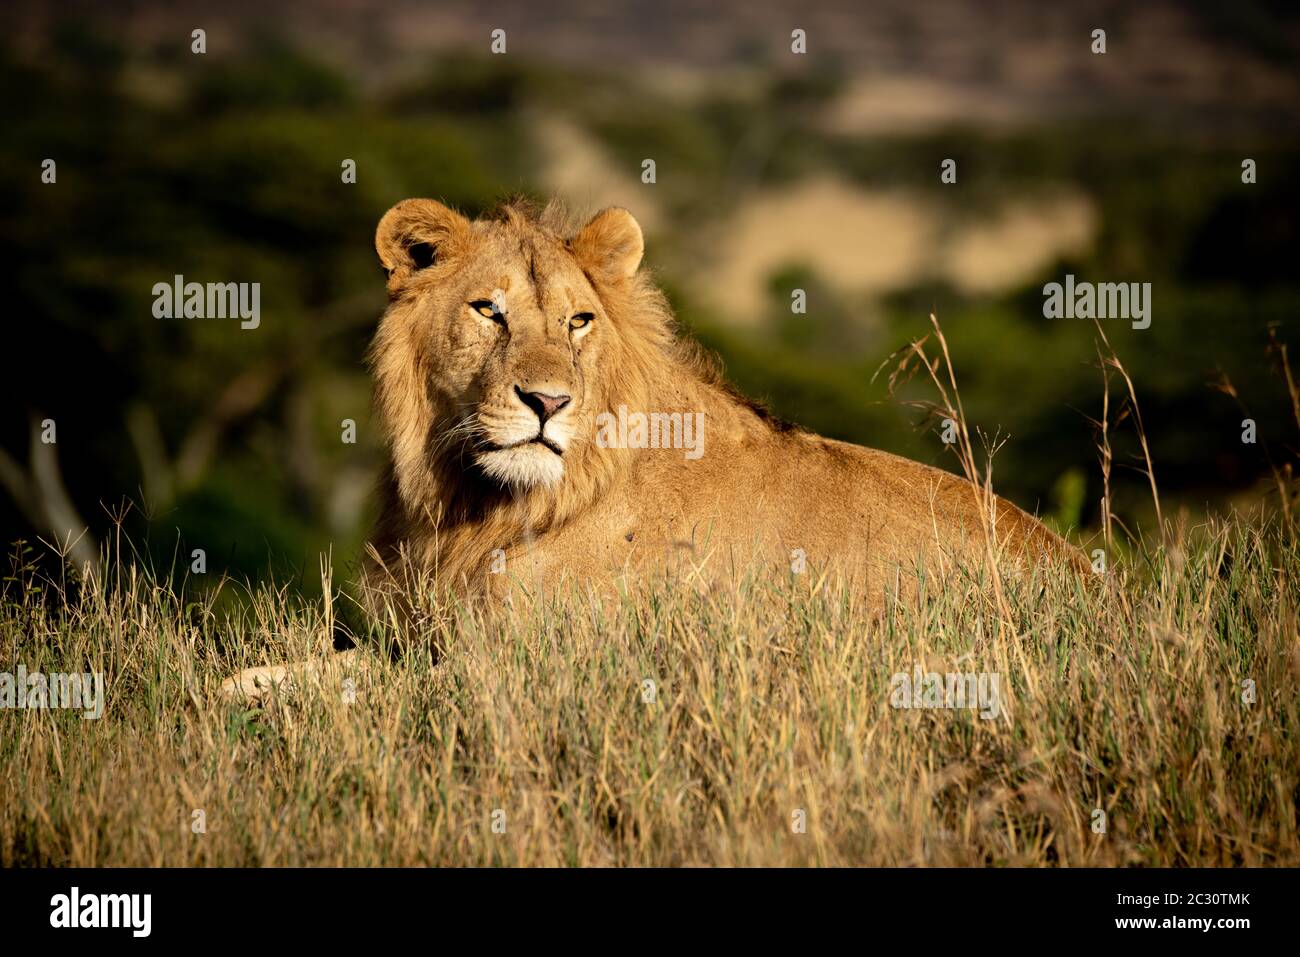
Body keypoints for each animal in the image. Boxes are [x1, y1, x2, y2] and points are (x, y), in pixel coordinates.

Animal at [221, 196, 1083, 700]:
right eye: (488, 311)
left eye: (577, 321)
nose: (548, 403)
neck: (472, 502)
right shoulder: (415, 632)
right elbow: (271, 675)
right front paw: (232, 691)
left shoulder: (532, 663)